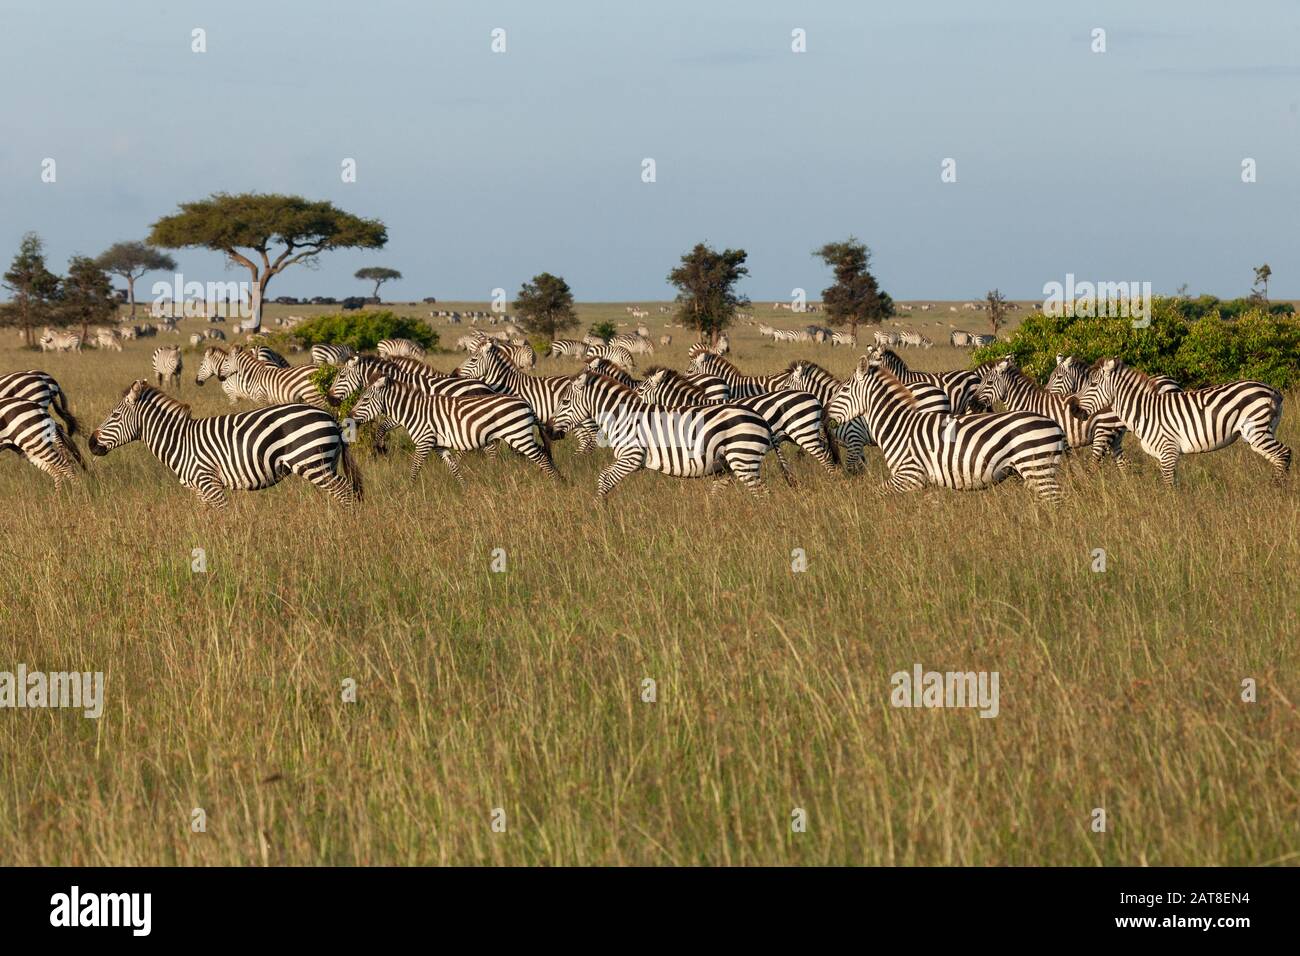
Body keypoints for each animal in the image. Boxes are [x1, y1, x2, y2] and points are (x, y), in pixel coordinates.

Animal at [88, 381, 362, 507]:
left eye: (114, 415)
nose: (91, 443)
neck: (179, 441)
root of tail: (330, 417)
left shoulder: (209, 483)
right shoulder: (199, 490)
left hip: (312, 462)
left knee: (344, 491)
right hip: (326, 462)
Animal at [349, 375, 558, 483]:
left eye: (365, 400)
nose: (349, 416)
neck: (415, 412)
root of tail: (526, 403)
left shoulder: (424, 442)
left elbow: (415, 467)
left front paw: (408, 489)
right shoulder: (439, 445)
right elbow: (454, 467)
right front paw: (464, 487)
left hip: (517, 435)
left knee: (540, 456)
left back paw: (556, 483)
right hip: (519, 435)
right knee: (542, 453)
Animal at [554, 370, 775, 498]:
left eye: (564, 402)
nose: (551, 431)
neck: (622, 417)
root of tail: (759, 417)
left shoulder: (631, 457)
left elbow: (604, 478)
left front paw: (600, 511)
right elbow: (604, 478)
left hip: (744, 458)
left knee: (762, 493)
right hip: (730, 463)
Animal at [828, 355, 1067, 502]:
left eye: (845, 389)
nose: (826, 414)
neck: (898, 426)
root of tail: (1055, 425)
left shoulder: (910, 475)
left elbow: (875, 492)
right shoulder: (923, 481)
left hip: (1038, 469)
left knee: (1056, 502)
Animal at [1067, 358, 1289, 484]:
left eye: (1093, 384)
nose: (1073, 409)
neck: (1144, 411)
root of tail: (1273, 390)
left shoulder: (1167, 451)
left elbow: (1169, 487)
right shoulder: (1167, 455)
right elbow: (1174, 484)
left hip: (1257, 430)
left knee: (1284, 453)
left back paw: (1276, 491)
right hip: (1261, 432)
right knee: (1279, 458)